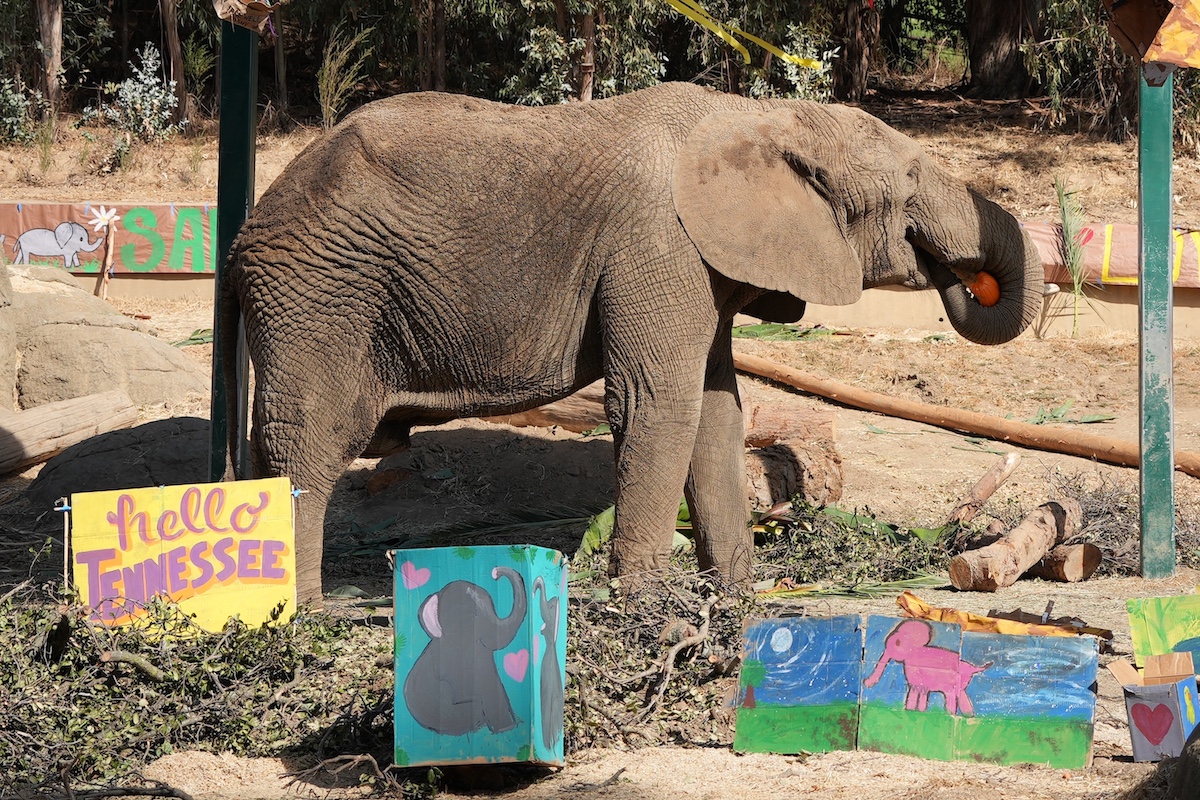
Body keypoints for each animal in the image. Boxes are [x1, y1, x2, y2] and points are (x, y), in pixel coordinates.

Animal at [219, 82, 1044, 603]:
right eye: (909, 184)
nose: (955, 274)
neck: (755, 116)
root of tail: (240, 237)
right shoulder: (658, 245)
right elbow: (659, 401)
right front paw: (648, 606)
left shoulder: (702, 263)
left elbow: (717, 411)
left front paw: (738, 598)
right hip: (319, 291)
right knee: (310, 441)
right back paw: (303, 623)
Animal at [403, 565, 527, 736]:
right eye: (472, 616)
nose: (496, 573)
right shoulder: (454, 660)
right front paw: (506, 728)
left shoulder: (481, 654)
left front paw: (510, 727)